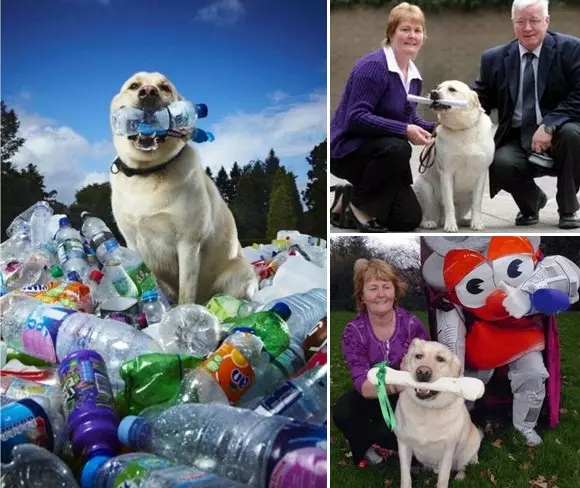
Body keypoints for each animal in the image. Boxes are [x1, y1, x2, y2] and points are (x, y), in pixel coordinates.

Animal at [109, 71, 258, 304]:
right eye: (134, 86)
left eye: (165, 87)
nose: (148, 92)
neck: (148, 172)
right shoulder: (132, 244)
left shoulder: (189, 243)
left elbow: (186, 292)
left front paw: (182, 310)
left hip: (240, 274)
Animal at [394, 340, 480, 488]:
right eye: (418, 356)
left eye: (440, 359)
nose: (423, 372)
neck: (426, 409)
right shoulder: (403, 444)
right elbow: (405, 477)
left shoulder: (448, 450)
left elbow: (443, 479)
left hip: (470, 448)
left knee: (464, 465)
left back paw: (460, 476)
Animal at [412, 80, 494, 233]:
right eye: (438, 88)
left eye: (452, 89)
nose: (433, 93)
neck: (462, 129)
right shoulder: (446, 173)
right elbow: (449, 203)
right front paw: (450, 225)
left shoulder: (481, 173)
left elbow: (477, 203)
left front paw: (476, 223)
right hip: (424, 187)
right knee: (427, 214)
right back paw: (430, 222)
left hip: (467, 197)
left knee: (461, 213)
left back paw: (465, 221)